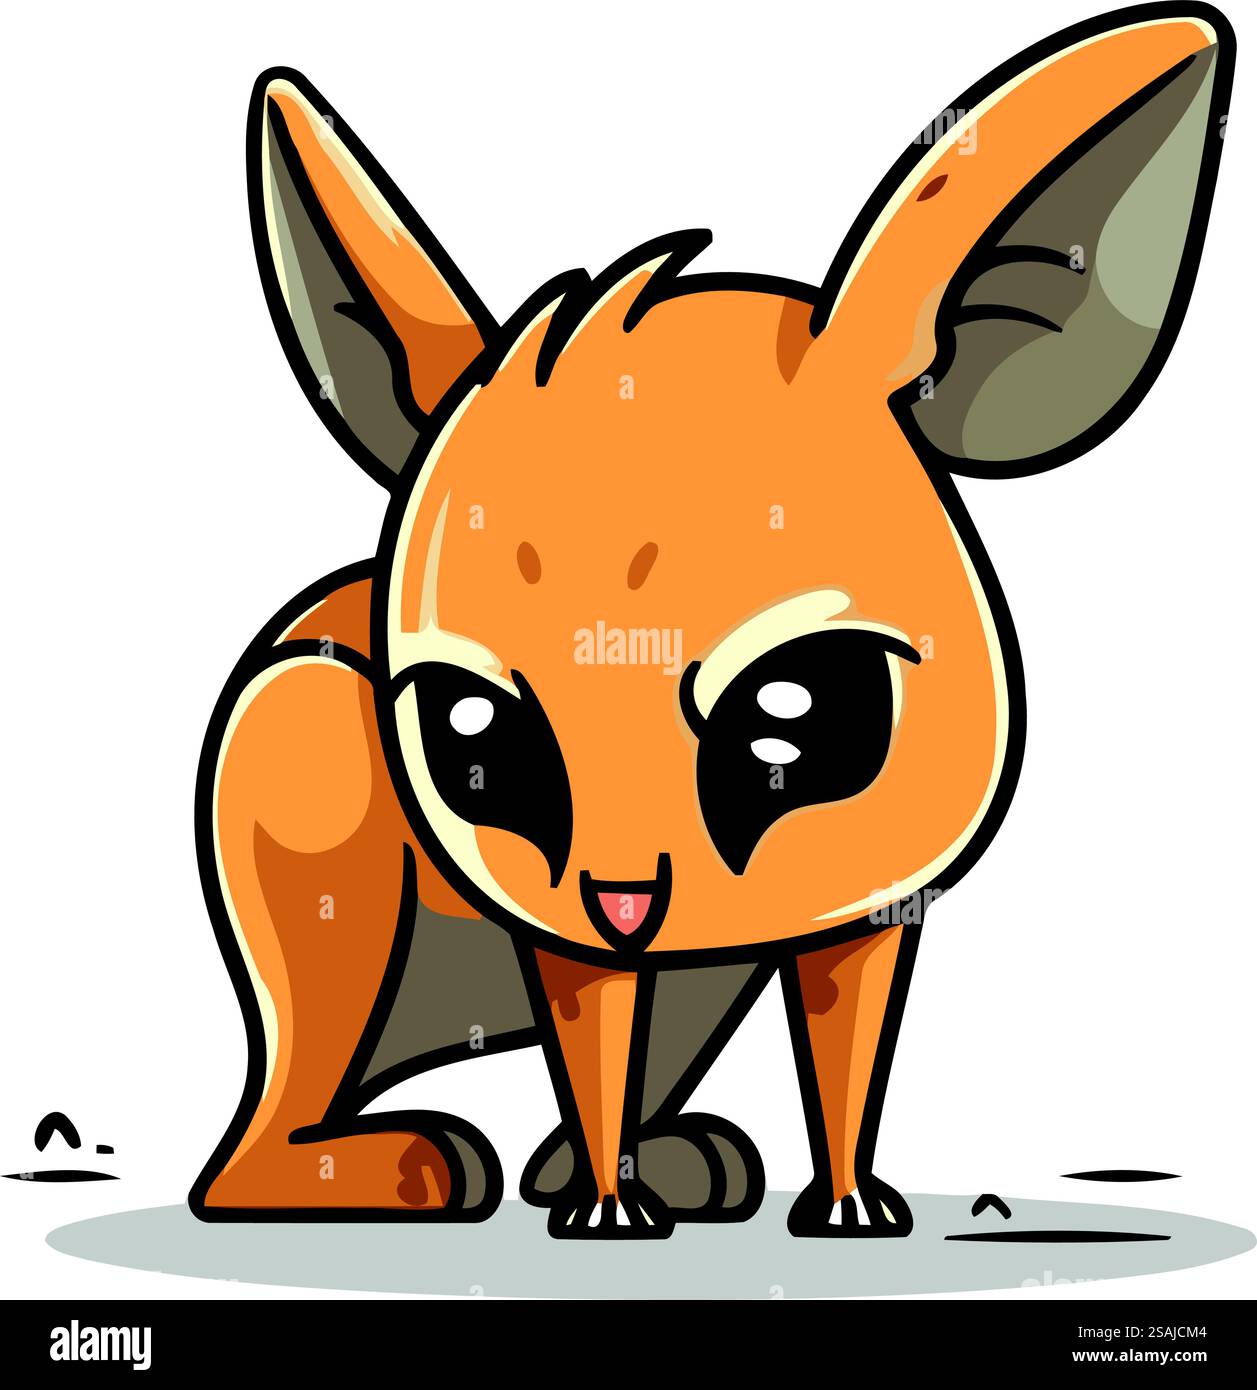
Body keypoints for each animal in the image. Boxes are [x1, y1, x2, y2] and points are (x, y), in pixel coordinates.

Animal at [191, 4, 1234, 1239]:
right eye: (464, 734)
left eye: (799, 708)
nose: (624, 895)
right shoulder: (562, 929)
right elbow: (596, 1034)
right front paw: (607, 1216)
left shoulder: (864, 909)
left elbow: (844, 1052)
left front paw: (845, 1210)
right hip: (306, 813)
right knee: (253, 1137)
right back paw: (410, 1168)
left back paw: (656, 1161)